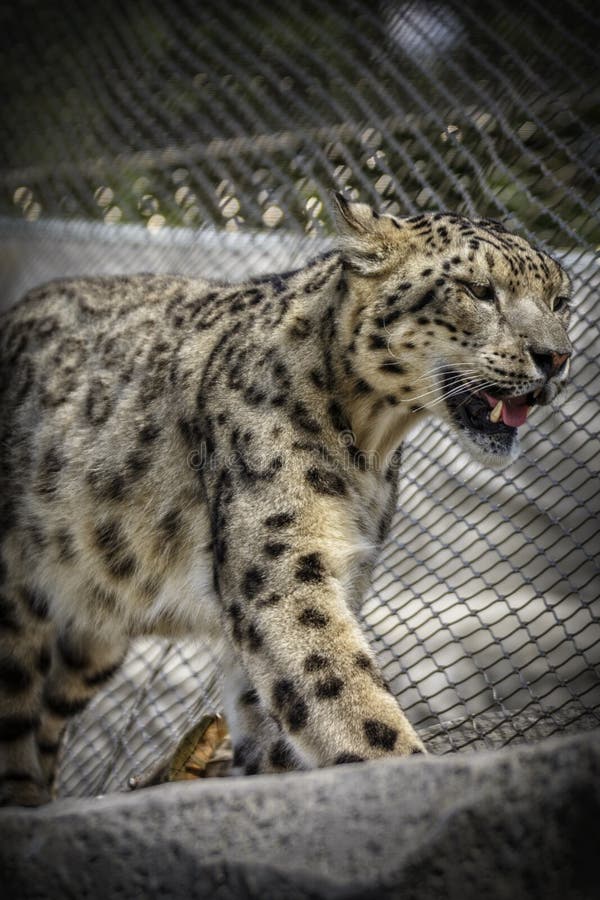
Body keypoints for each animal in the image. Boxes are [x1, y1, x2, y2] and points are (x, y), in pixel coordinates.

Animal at [0, 194, 572, 805]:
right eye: (479, 289)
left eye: (560, 301)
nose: (556, 357)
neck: (370, 446)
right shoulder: (282, 566)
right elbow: (334, 681)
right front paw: (397, 763)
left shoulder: (343, 568)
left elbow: (269, 703)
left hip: (94, 632)